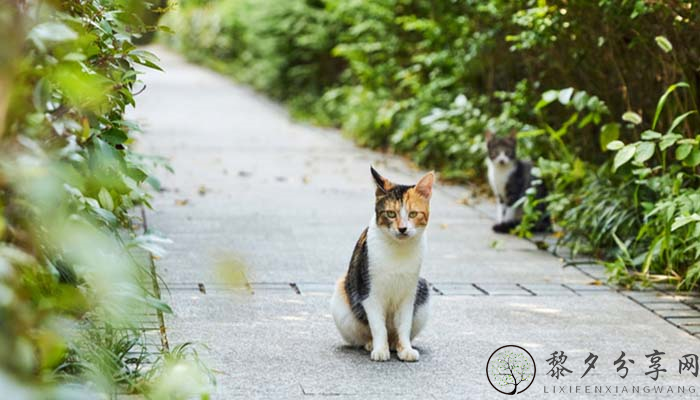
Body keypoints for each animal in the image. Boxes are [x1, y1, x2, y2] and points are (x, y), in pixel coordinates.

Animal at [328, 166, 432, 362]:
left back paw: (395, 344)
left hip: (423, 289)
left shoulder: (409, 295)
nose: (402, 228)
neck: (398, 251)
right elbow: (377, 325)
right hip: (341, 299)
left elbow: (404, 325)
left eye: (413, 214)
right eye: (391, 213)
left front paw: (405, 349)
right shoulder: (370, 293)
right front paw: (379, 349)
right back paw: (371, 344)